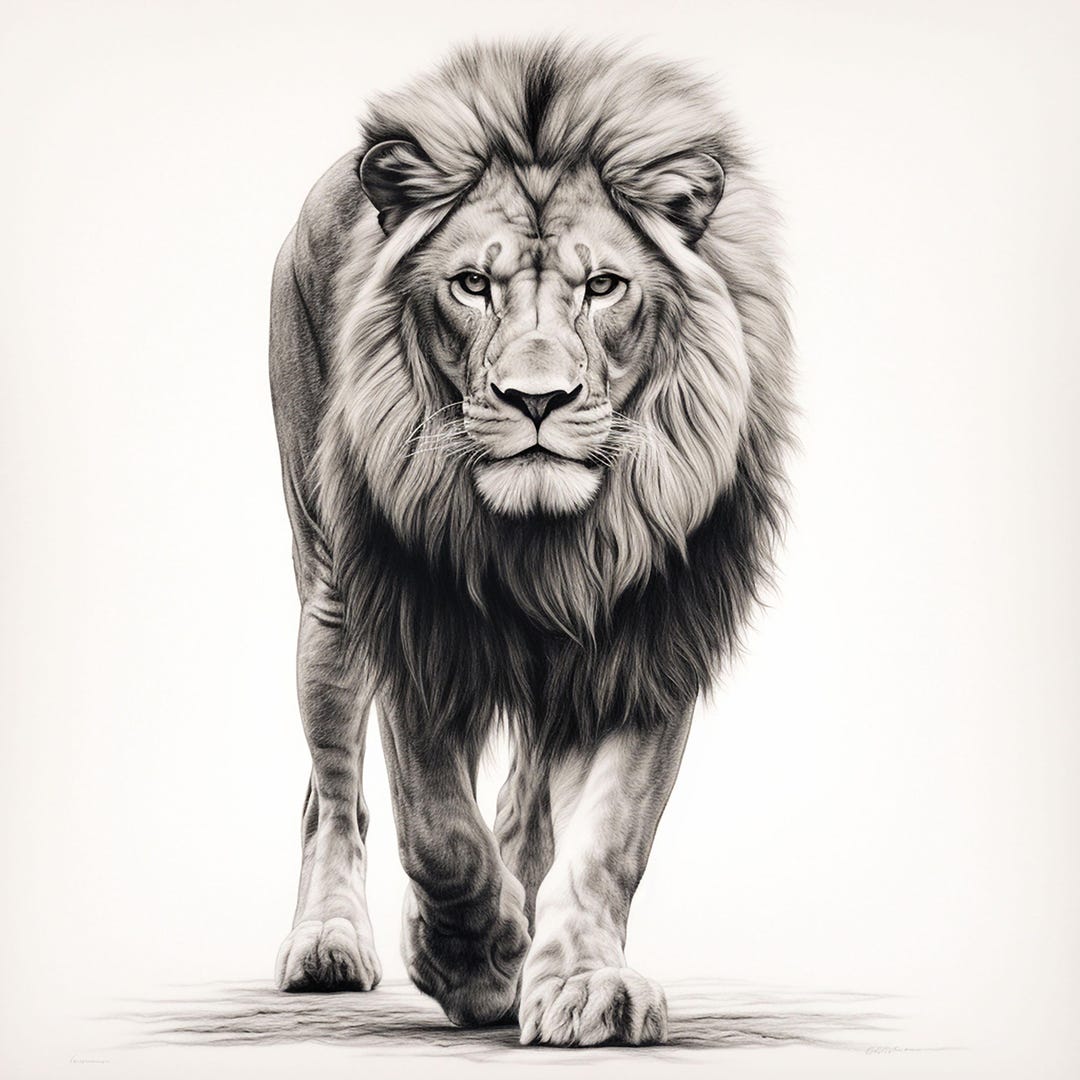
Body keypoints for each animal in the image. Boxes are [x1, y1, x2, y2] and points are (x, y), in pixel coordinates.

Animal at [268, 39, 793, 1047]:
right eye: (473, 285)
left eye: (603, 286)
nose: (536, 400)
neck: (544, 543)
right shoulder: (414, 618)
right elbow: (439, 829)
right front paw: (473, 962)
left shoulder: (646, 639)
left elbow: (608, 840)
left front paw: (585, 985)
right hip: (329, 597)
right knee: (332, 792)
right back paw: (329, 945)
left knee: (529, 800)